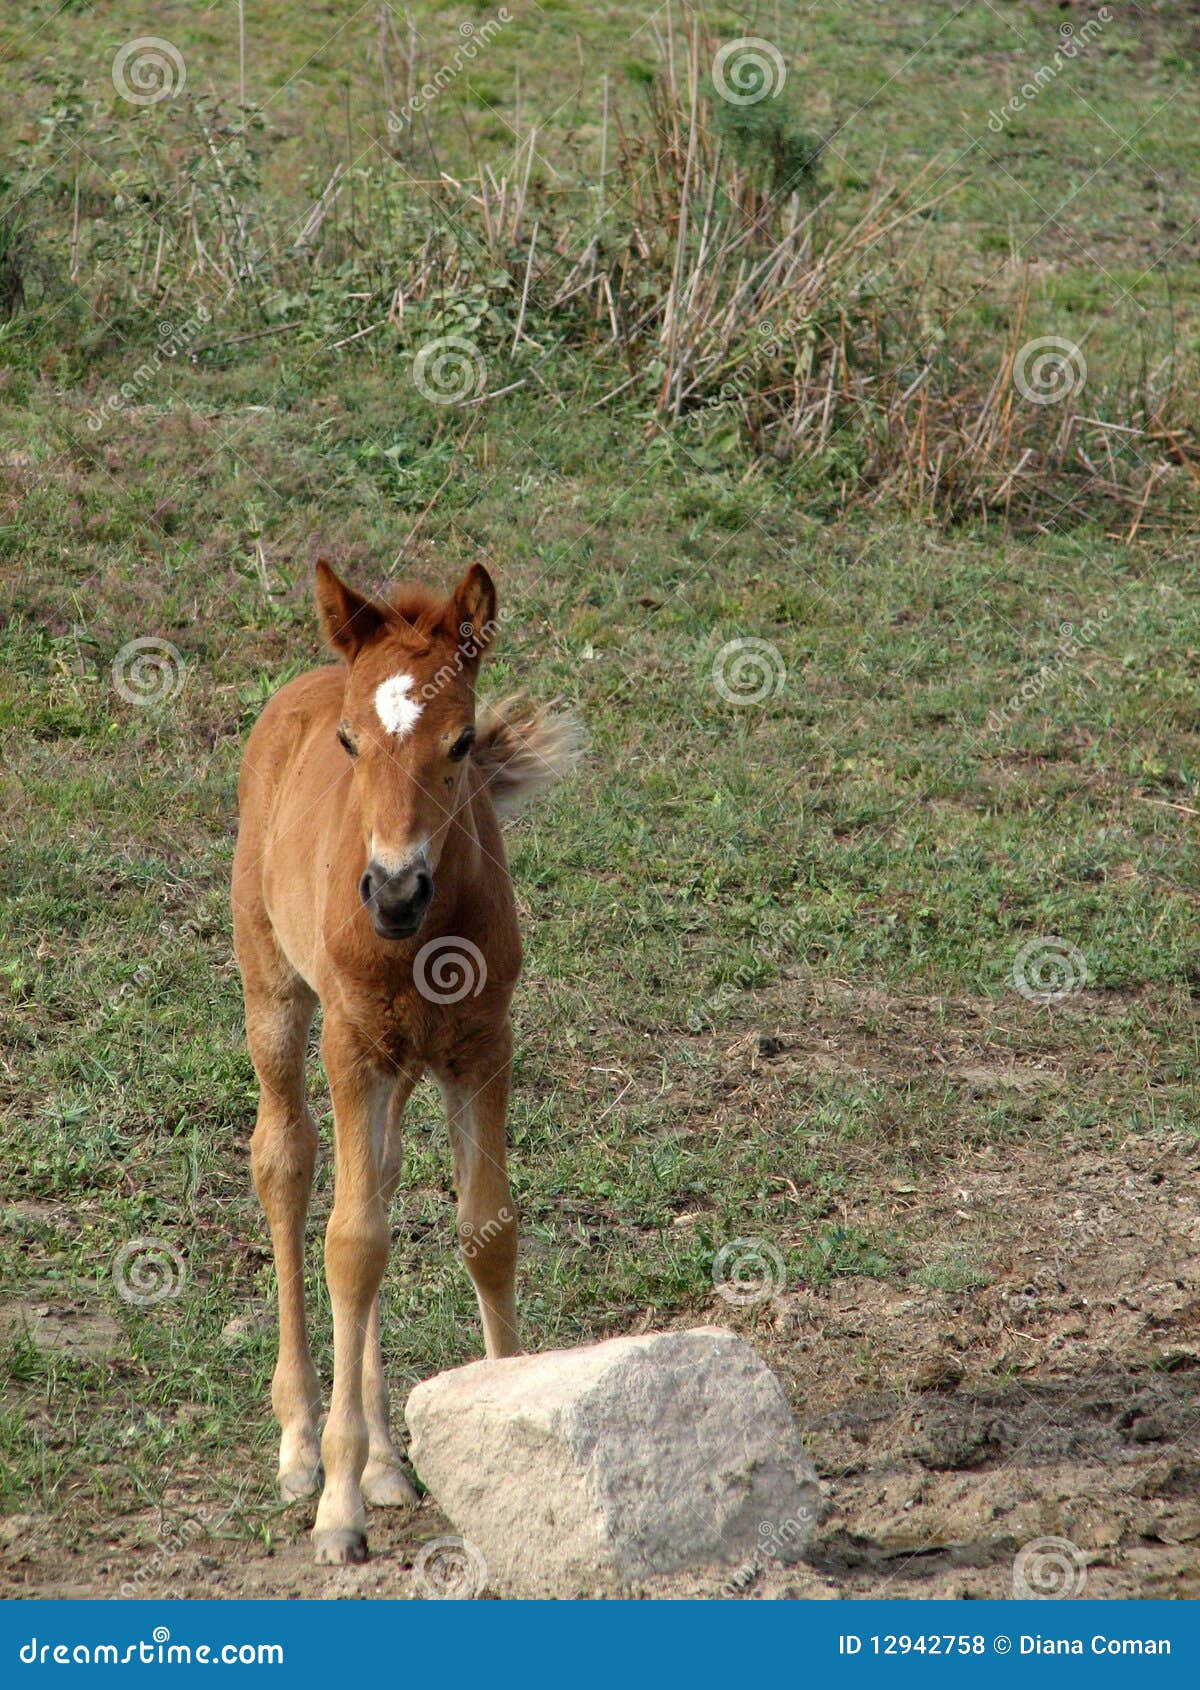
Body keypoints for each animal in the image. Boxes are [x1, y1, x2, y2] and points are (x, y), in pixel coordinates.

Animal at [231, 558, 580, 1565]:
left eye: (463, 741)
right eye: (350, 743)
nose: (392, 891)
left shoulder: (482, 1046)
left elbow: (486, 1229)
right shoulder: (353, 1047)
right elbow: (350, 1246)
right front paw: (336, 1509)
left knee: (376, 1182)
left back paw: (387, 1460)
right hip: (275, 994)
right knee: (289, 1165)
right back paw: (303, 1447)